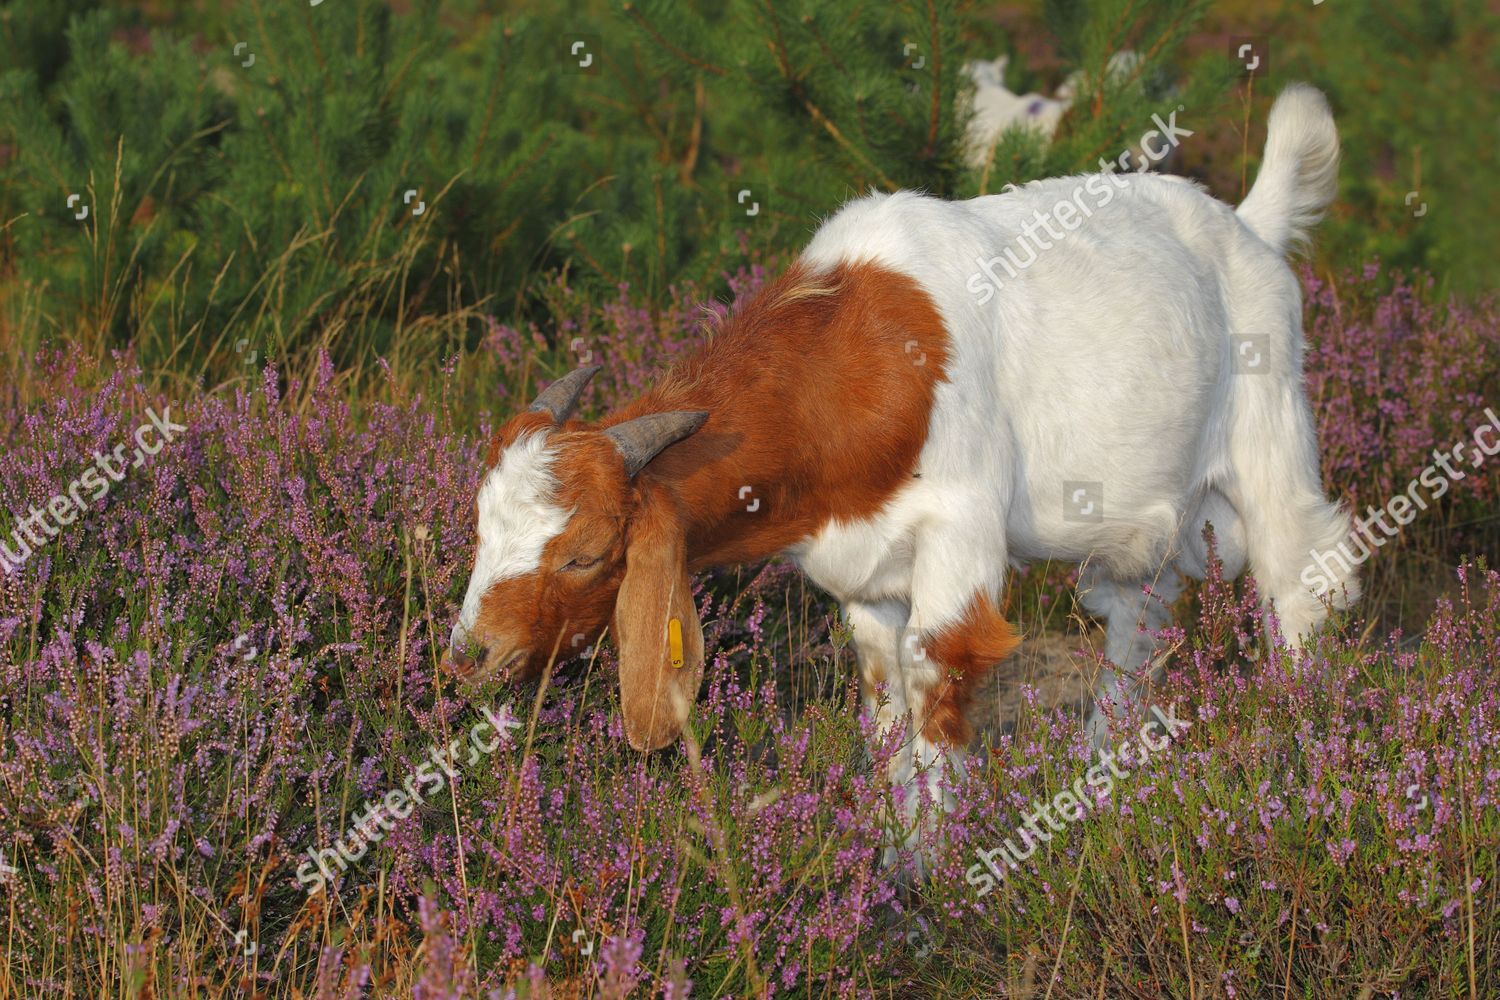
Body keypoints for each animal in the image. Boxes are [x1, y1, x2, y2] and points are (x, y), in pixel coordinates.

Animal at [445, 84, 1358, 836]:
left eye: (585, 554)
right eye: (480, 530)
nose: (467, 657)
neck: (858, 359)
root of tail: (1245, 224)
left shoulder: (960, 541)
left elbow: (936, 696)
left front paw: (935, 876)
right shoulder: (866, 576)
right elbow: (885, 707)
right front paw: (891, 856)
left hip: (1273, 442)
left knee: (1301, 582)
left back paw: (1304, 761)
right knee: (1139, 620)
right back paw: (1097, 780)